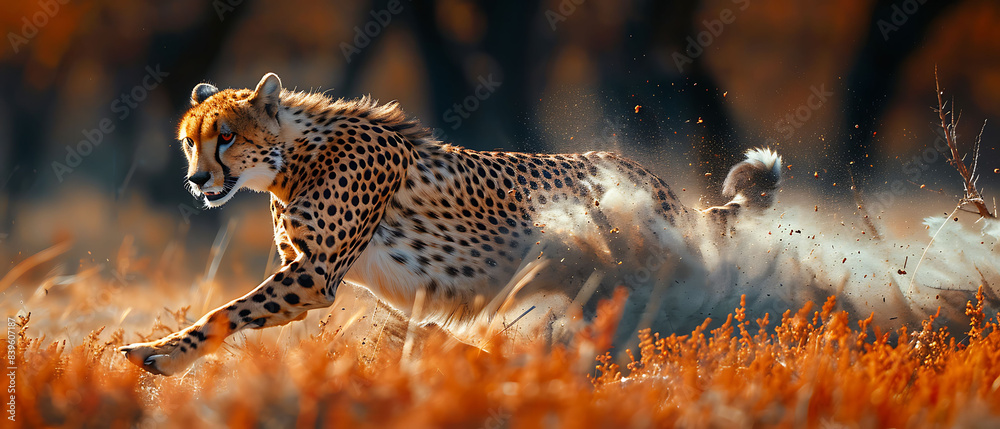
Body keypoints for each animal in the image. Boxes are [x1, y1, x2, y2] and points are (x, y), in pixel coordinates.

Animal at [119, 73, 782, 375]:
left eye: (226, 137)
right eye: (189, 141)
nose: (195, 181)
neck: (292, 161)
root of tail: (656, 182)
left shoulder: (313, 275)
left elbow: (225, 311)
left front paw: (161, 355)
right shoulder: (323, 272)